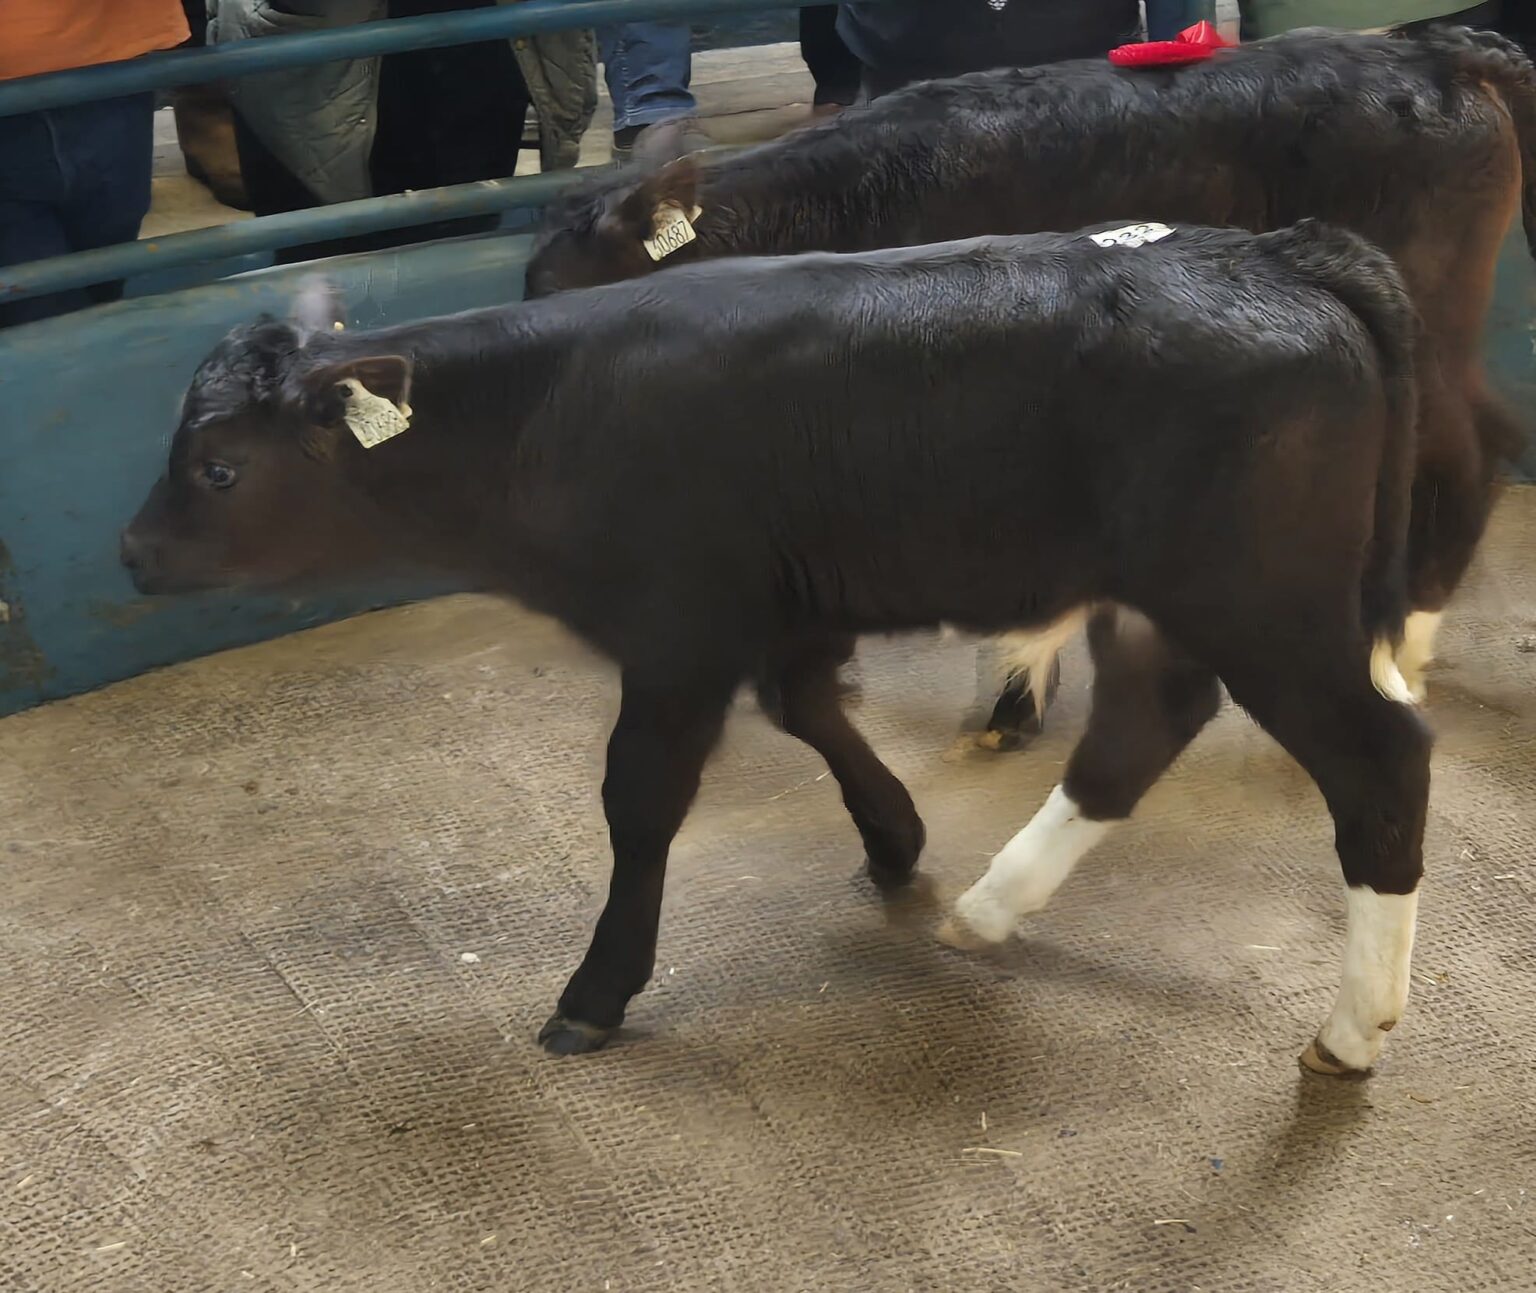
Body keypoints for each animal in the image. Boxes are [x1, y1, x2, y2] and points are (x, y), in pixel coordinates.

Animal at [122, 220, 1428, 1076]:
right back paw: (991, 908)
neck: (552, 408)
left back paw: (1351, 1029)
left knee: (1380, 760)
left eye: (218, 468)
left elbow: (641, 799)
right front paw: (896, 839)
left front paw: (598, 991)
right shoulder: (778, 609)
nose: (131, 552)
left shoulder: (676, 629)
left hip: (1265, 600)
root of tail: (1269, 253)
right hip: (1173, 596)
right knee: (1143, 724)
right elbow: (808, 710)